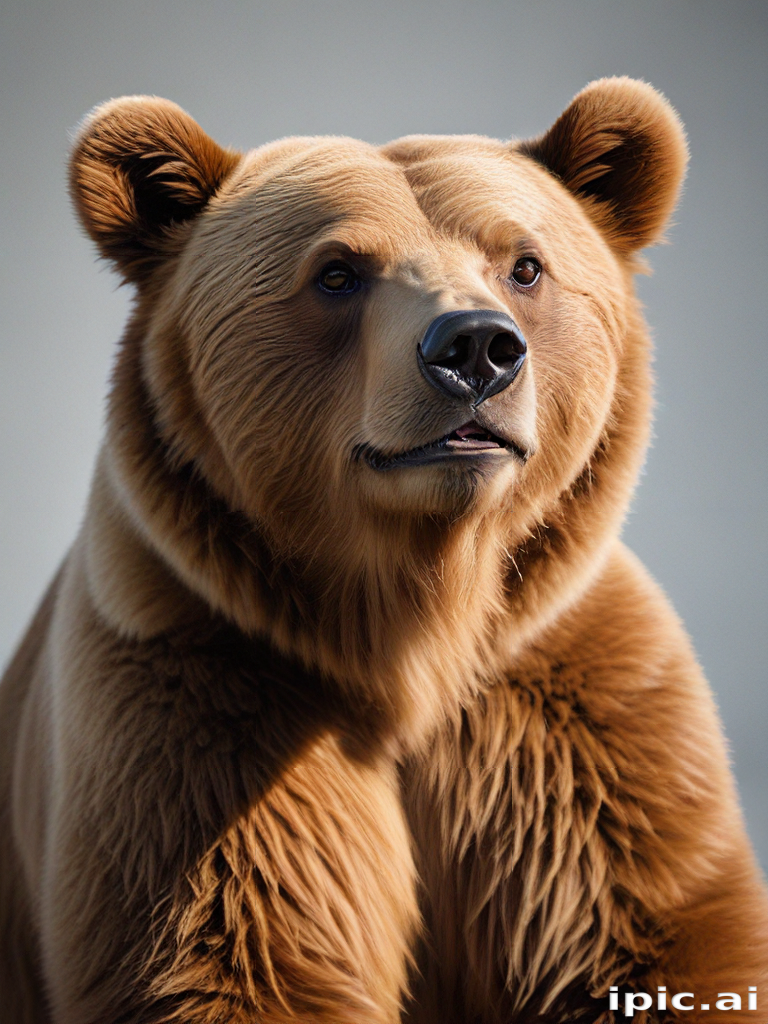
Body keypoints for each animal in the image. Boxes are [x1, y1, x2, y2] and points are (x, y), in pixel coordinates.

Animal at [1, 76, 767, 1024]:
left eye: (525, 263)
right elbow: (227, 949)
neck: (414, 628)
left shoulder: (577, 738)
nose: (475, 348)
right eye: (337, 272)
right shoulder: (200, 704)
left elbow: (660, 937)